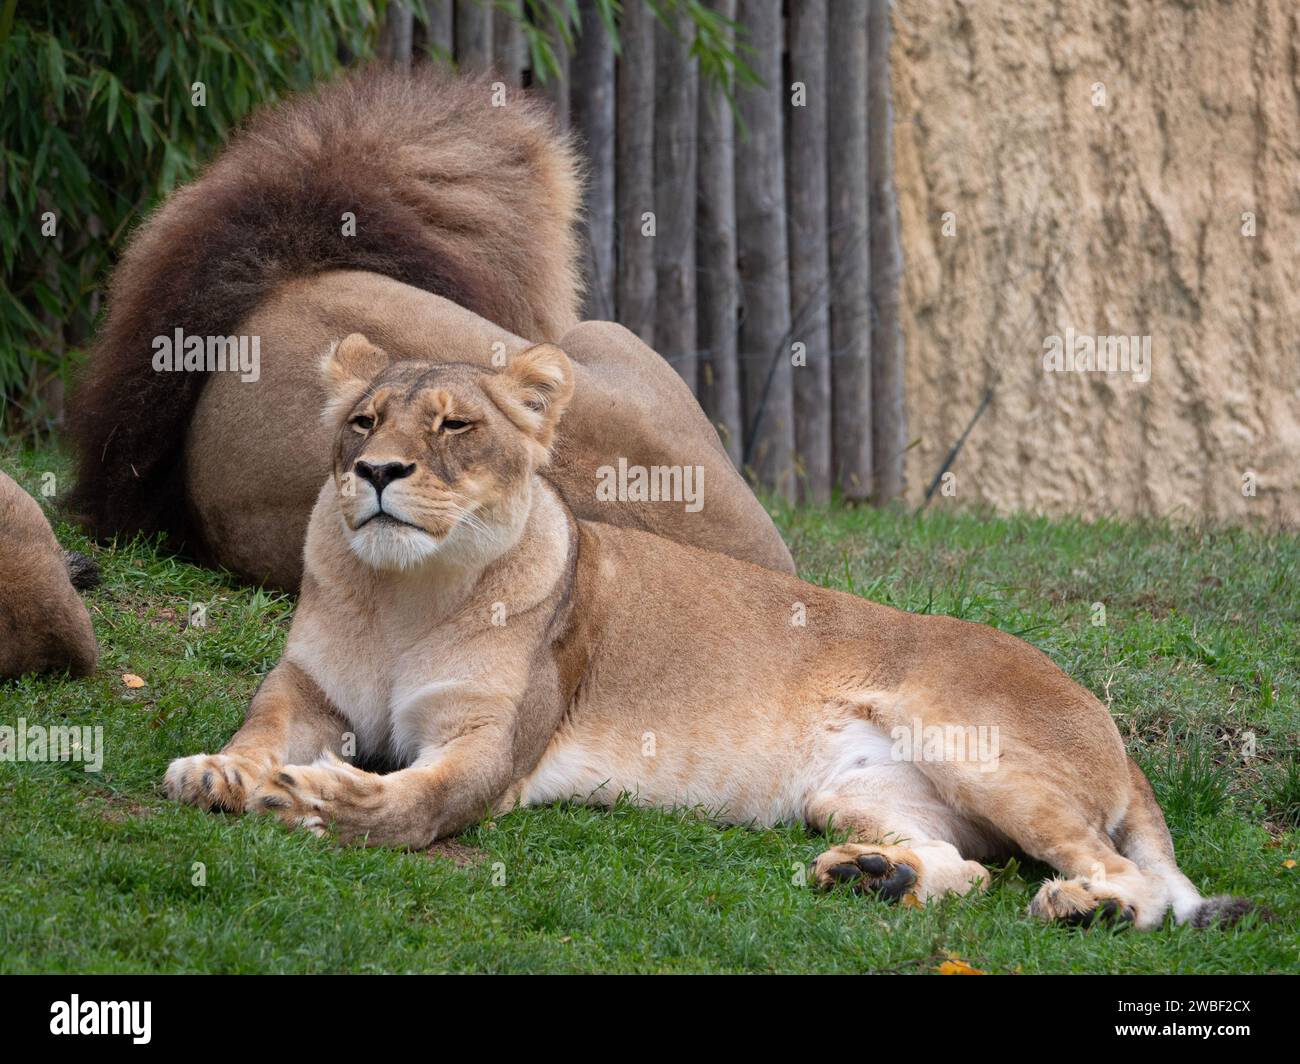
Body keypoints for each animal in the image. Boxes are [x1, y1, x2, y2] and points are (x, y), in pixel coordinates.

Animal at [164, 337, 1252, 930]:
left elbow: (415, 803)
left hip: (979, 749)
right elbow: (262, 728)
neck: (404, 595)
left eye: (454, 425)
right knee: (974, 869)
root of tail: (1106, 719)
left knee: (1126, 876)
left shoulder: (489, 745)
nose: (378, 472)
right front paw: (219, 772)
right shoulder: (308, 688)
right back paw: (877, 874)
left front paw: (323, 797)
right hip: (849, 793)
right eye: (363, 419)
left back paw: (1079, 905)